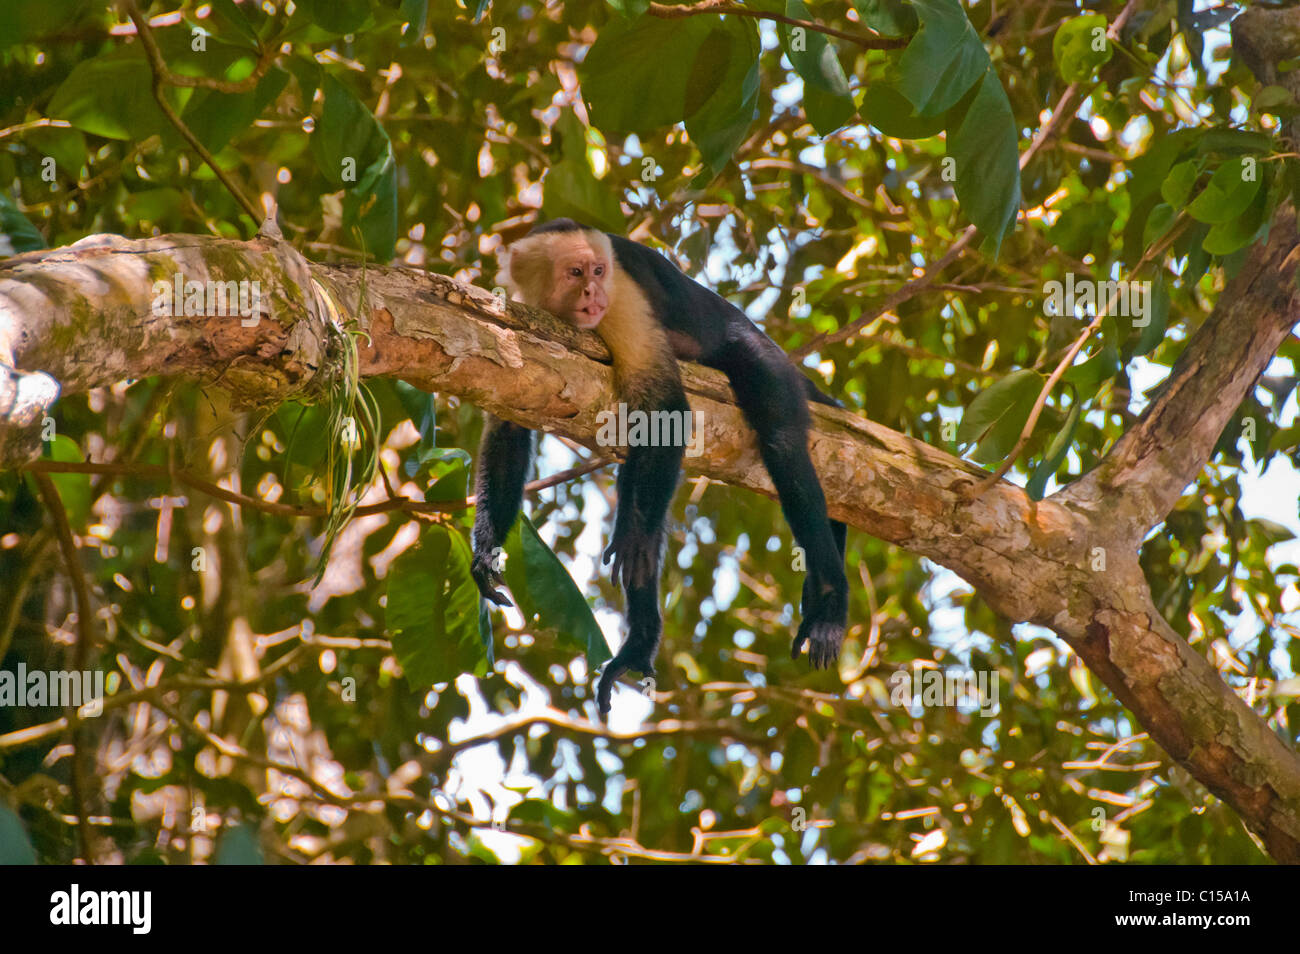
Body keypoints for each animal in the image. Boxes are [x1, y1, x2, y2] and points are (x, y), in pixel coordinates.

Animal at [471, 219, 849, 716]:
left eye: (598, 270)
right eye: (575, 272)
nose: (593, 290)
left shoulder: (621, 299)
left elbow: (666, 411)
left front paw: (632, 541)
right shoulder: (520, 317)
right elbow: (509, 429)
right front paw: (486, 554)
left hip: (759, 357)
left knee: (782, 442)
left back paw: (829, 603)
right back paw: (638, 645)